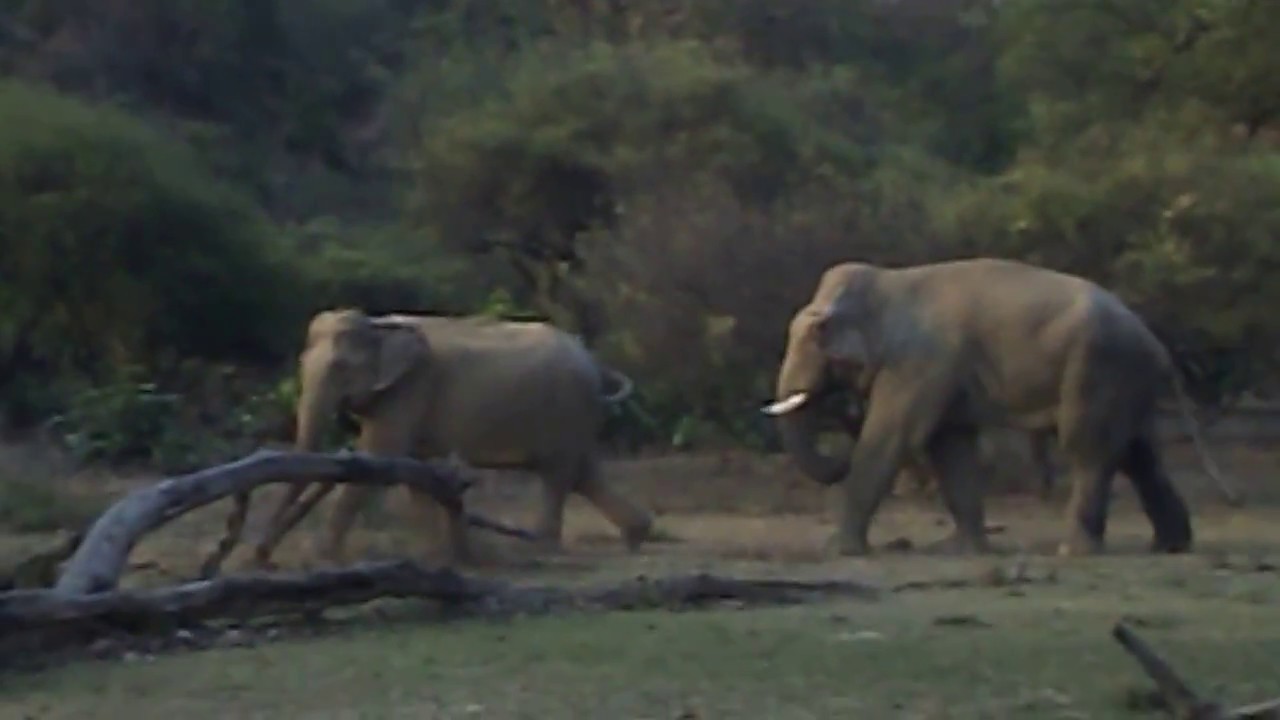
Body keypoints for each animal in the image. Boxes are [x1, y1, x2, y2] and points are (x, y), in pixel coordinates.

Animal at [235, 308, 655, 570]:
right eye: (301, 365)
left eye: (340, 367)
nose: (260, 558)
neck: (378, 323)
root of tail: (595, 361)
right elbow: (411, 470)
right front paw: (433, 558)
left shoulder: (410, 388)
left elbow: (379, 457)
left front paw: (321, 558)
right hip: (575, 416)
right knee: (584, 474)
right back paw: (638, 535)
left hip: (565, 409)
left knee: (557, 476)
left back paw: (538, 550)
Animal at [763, 257, 1239, 558]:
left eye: (817, 335)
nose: (842, 413)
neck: (888, 281)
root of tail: (1157, 345)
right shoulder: (940, 373)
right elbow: (949, 446)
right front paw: (962, 551)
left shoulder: (920, 363)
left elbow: (892, 437)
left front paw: (838, 551)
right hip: (1129, 383)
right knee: (1140, 456)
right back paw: (1170, 547)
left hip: (1099, 370)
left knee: (1090, 451)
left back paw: (1073, 552)